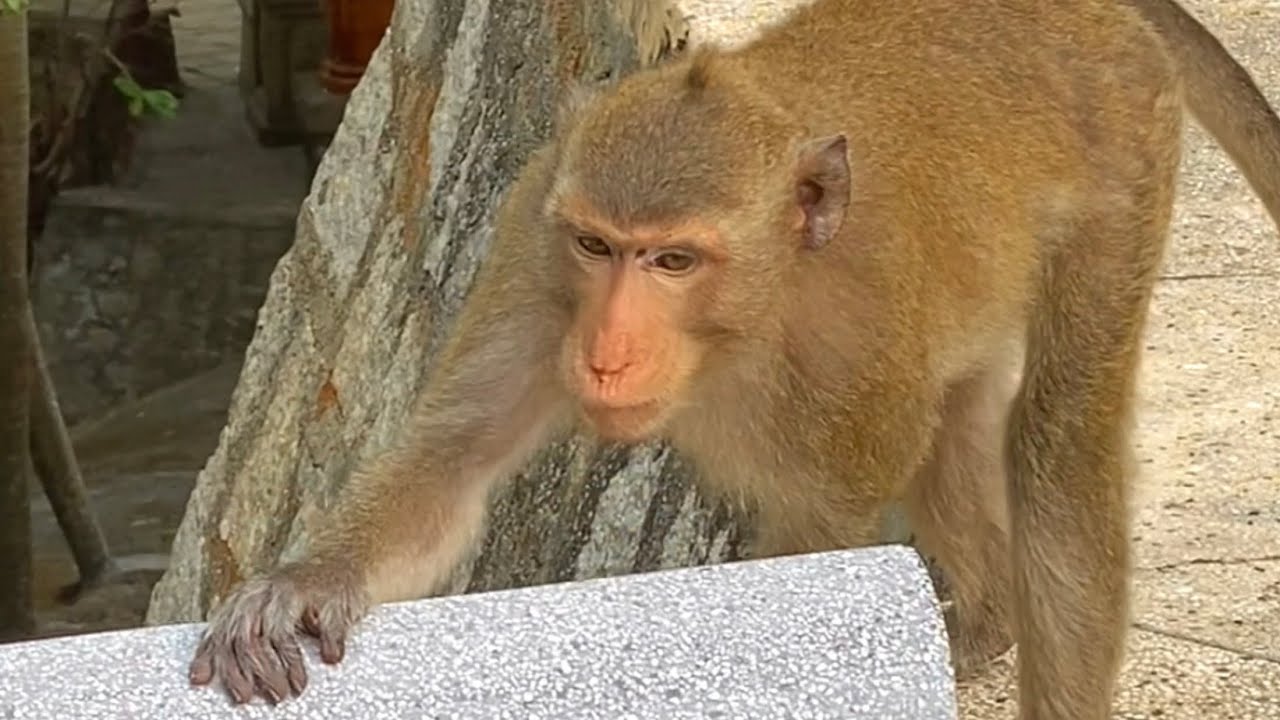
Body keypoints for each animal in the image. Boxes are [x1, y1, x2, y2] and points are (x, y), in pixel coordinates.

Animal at [186, 1, 1280, 718]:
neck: (757, 304)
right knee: (963, 418)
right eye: (598, 247)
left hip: (1126, 154)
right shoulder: (534, 246)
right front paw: (299, 590)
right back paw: (982, 626)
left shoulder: (859, 356)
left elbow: (815, 550)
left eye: (674, 260)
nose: (606, 353)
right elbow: (450, 463)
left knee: (1055, 446)